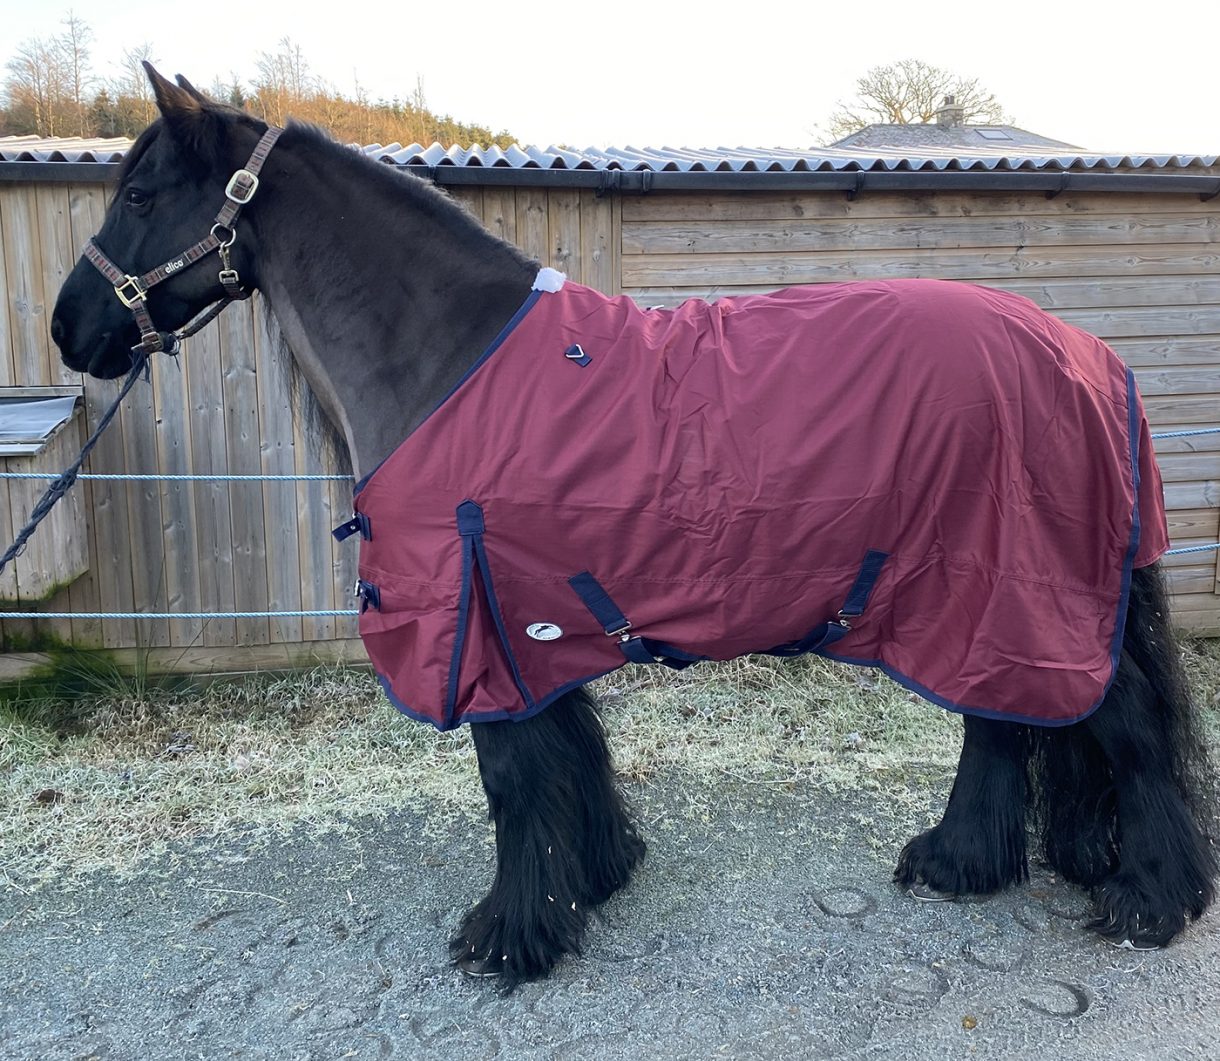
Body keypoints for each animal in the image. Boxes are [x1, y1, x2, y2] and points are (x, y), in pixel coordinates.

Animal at [51, 66, 1217, 988]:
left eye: (142, 192)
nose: (70, 327)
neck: (452, 357)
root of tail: (1087, 359)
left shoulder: (484, 620)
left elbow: (514, 776)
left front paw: (512, 934)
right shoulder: (527, 619)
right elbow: (567, 749)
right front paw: (593, 879)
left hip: (1025, 586)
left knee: (1117, 726)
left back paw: (1148, 897)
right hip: (976, 589)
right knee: (1001, 716)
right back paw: (960, 860)